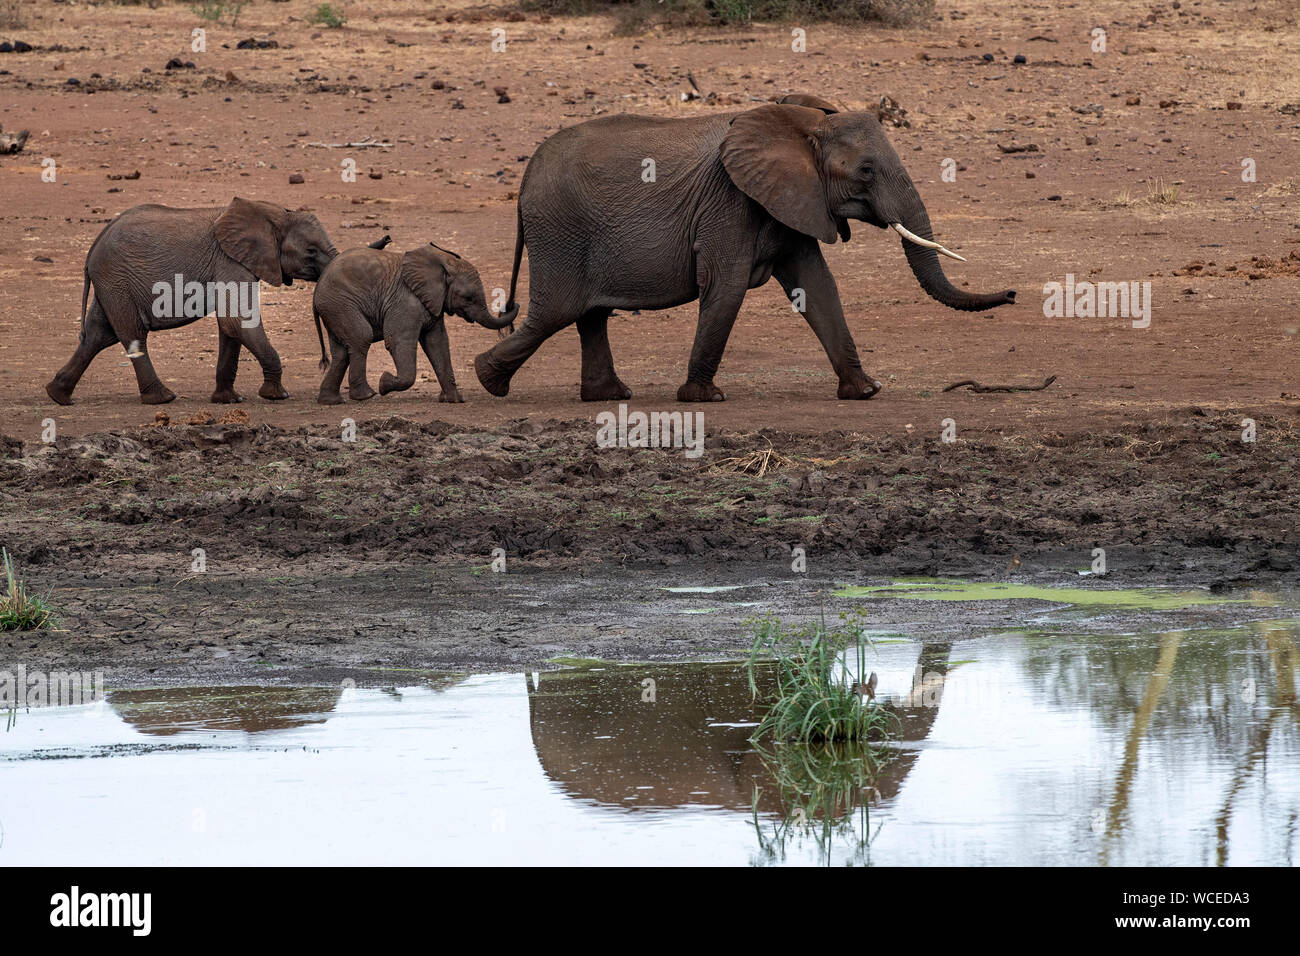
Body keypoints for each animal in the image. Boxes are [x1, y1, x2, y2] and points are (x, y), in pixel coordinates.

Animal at [45, 197, 339, 406]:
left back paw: (58, 396)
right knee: (131, 334)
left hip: (111, 284)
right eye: (311, 251)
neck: (275, 214)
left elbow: (230, 327)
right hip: (117, 280)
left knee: (98, 335)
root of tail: (93, 247)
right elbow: (237, 321)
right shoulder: (229, 261)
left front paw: (228, 400)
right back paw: (162, 398)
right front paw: (277, 395)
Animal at [311, 242, 518, 404]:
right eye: (468, 297)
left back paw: (331, 401)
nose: (513, 303)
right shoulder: (405, 301)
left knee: (342, 352)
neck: (443, 263)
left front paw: (454, 400)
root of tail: (316, 292)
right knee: (362, 337)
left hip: (335, 309)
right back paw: (367, 395)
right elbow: (398, 340)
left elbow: (437, 343)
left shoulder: (433, 303)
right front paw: (384, 382)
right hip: (340, 303)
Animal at [475, 93, 1016, 403]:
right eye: (865, 170)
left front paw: (865, 392)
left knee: (589, 315)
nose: (1012, 294)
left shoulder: (791, 200)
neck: (802, 125)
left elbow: (818, 287)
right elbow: (727, 286)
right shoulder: (731, 202)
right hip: (560, 231)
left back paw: (608, 397)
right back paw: (488, 381)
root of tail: (525, 176)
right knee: (558, 312)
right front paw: (702, 399)